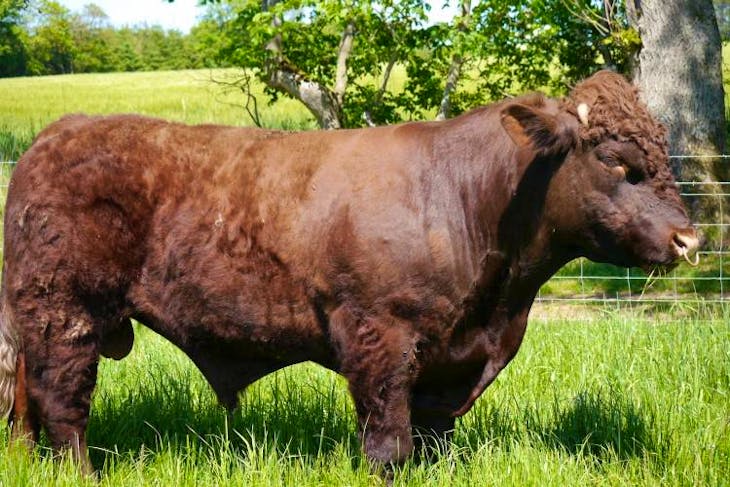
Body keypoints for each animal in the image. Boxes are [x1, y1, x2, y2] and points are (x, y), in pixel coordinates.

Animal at [0, 71, 699, 473]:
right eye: (615, 160)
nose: (688, 238)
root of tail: (57, 135)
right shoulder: (379, 338)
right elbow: (388, 441)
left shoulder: (450, 360)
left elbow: (432, 440)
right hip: (65, 313)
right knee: (64, 405)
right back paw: (81, 472)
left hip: (44, 321)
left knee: (28, 399)